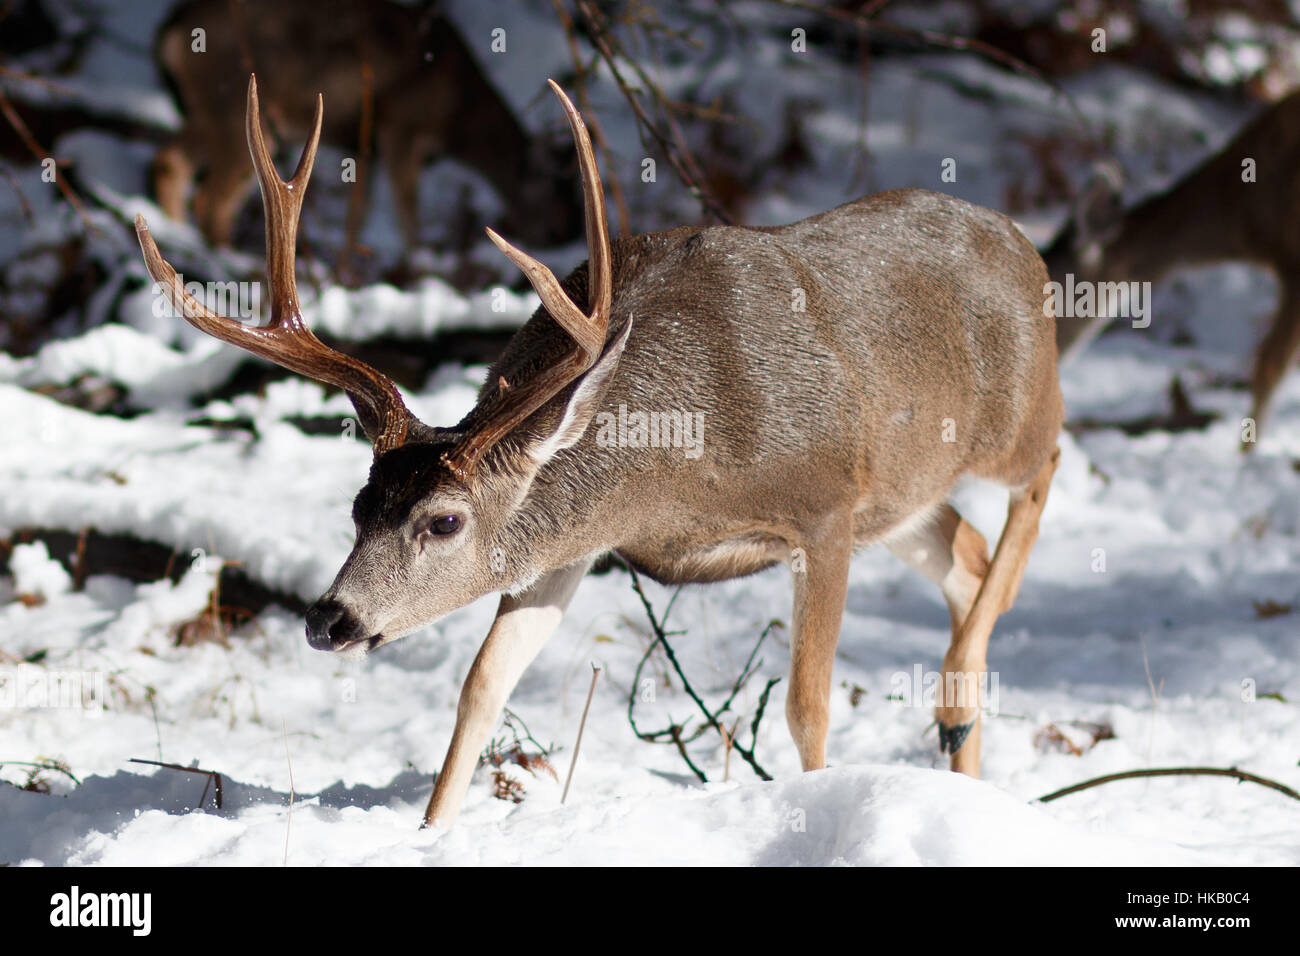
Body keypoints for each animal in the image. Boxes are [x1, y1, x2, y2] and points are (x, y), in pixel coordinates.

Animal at [135, 75, 1063, 829]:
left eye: (443, 521)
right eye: (359, 507)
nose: (330, 619)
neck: (675, 470)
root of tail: (1022, 241)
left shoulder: (825, 503)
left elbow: (807, 708)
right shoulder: (570, 546)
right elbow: (482, 686)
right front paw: (431, 832)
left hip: (1010, 415)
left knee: (1040, 472)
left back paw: (959, 684)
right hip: (901, 501)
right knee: (963, 553)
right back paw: (967, 746)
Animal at [150, 0, 580, 253]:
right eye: (557, 207)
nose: (564, 239)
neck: (459, 110)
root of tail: (170, 31)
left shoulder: (363, 143)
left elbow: (360, 210)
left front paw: (351, 268)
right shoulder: (400, 125)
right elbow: (407, 211)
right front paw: (416, 268)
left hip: (209, 110)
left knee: (171, 161)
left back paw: (176, 236)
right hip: (240, 111)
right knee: (211, 200)